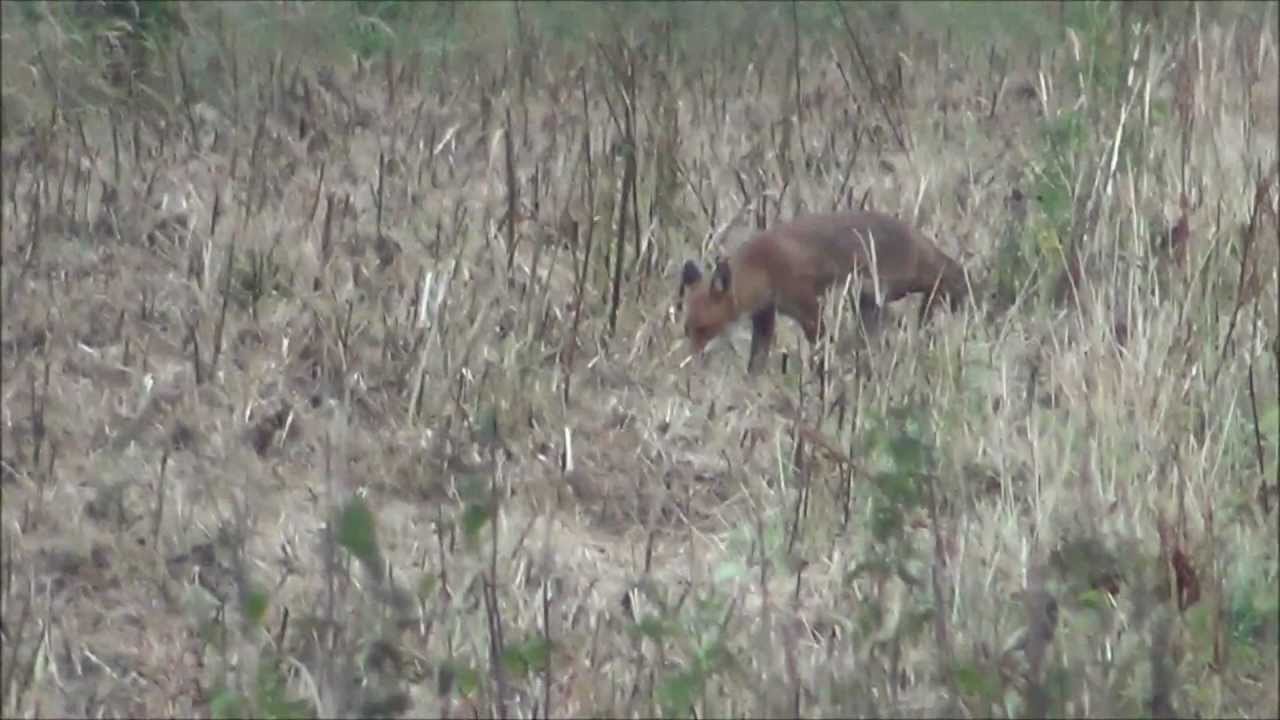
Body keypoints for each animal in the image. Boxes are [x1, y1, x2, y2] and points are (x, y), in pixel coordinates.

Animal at [680, 210, 967, 374]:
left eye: (704, 329)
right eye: (688, 329)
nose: (690, 365)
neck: (762, 268)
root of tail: (911, 230)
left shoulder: (808, 307)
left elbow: (823, 345)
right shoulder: (765, 315)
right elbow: (757, 360)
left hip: (901, 282)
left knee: (954, 274)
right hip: (871, 298)